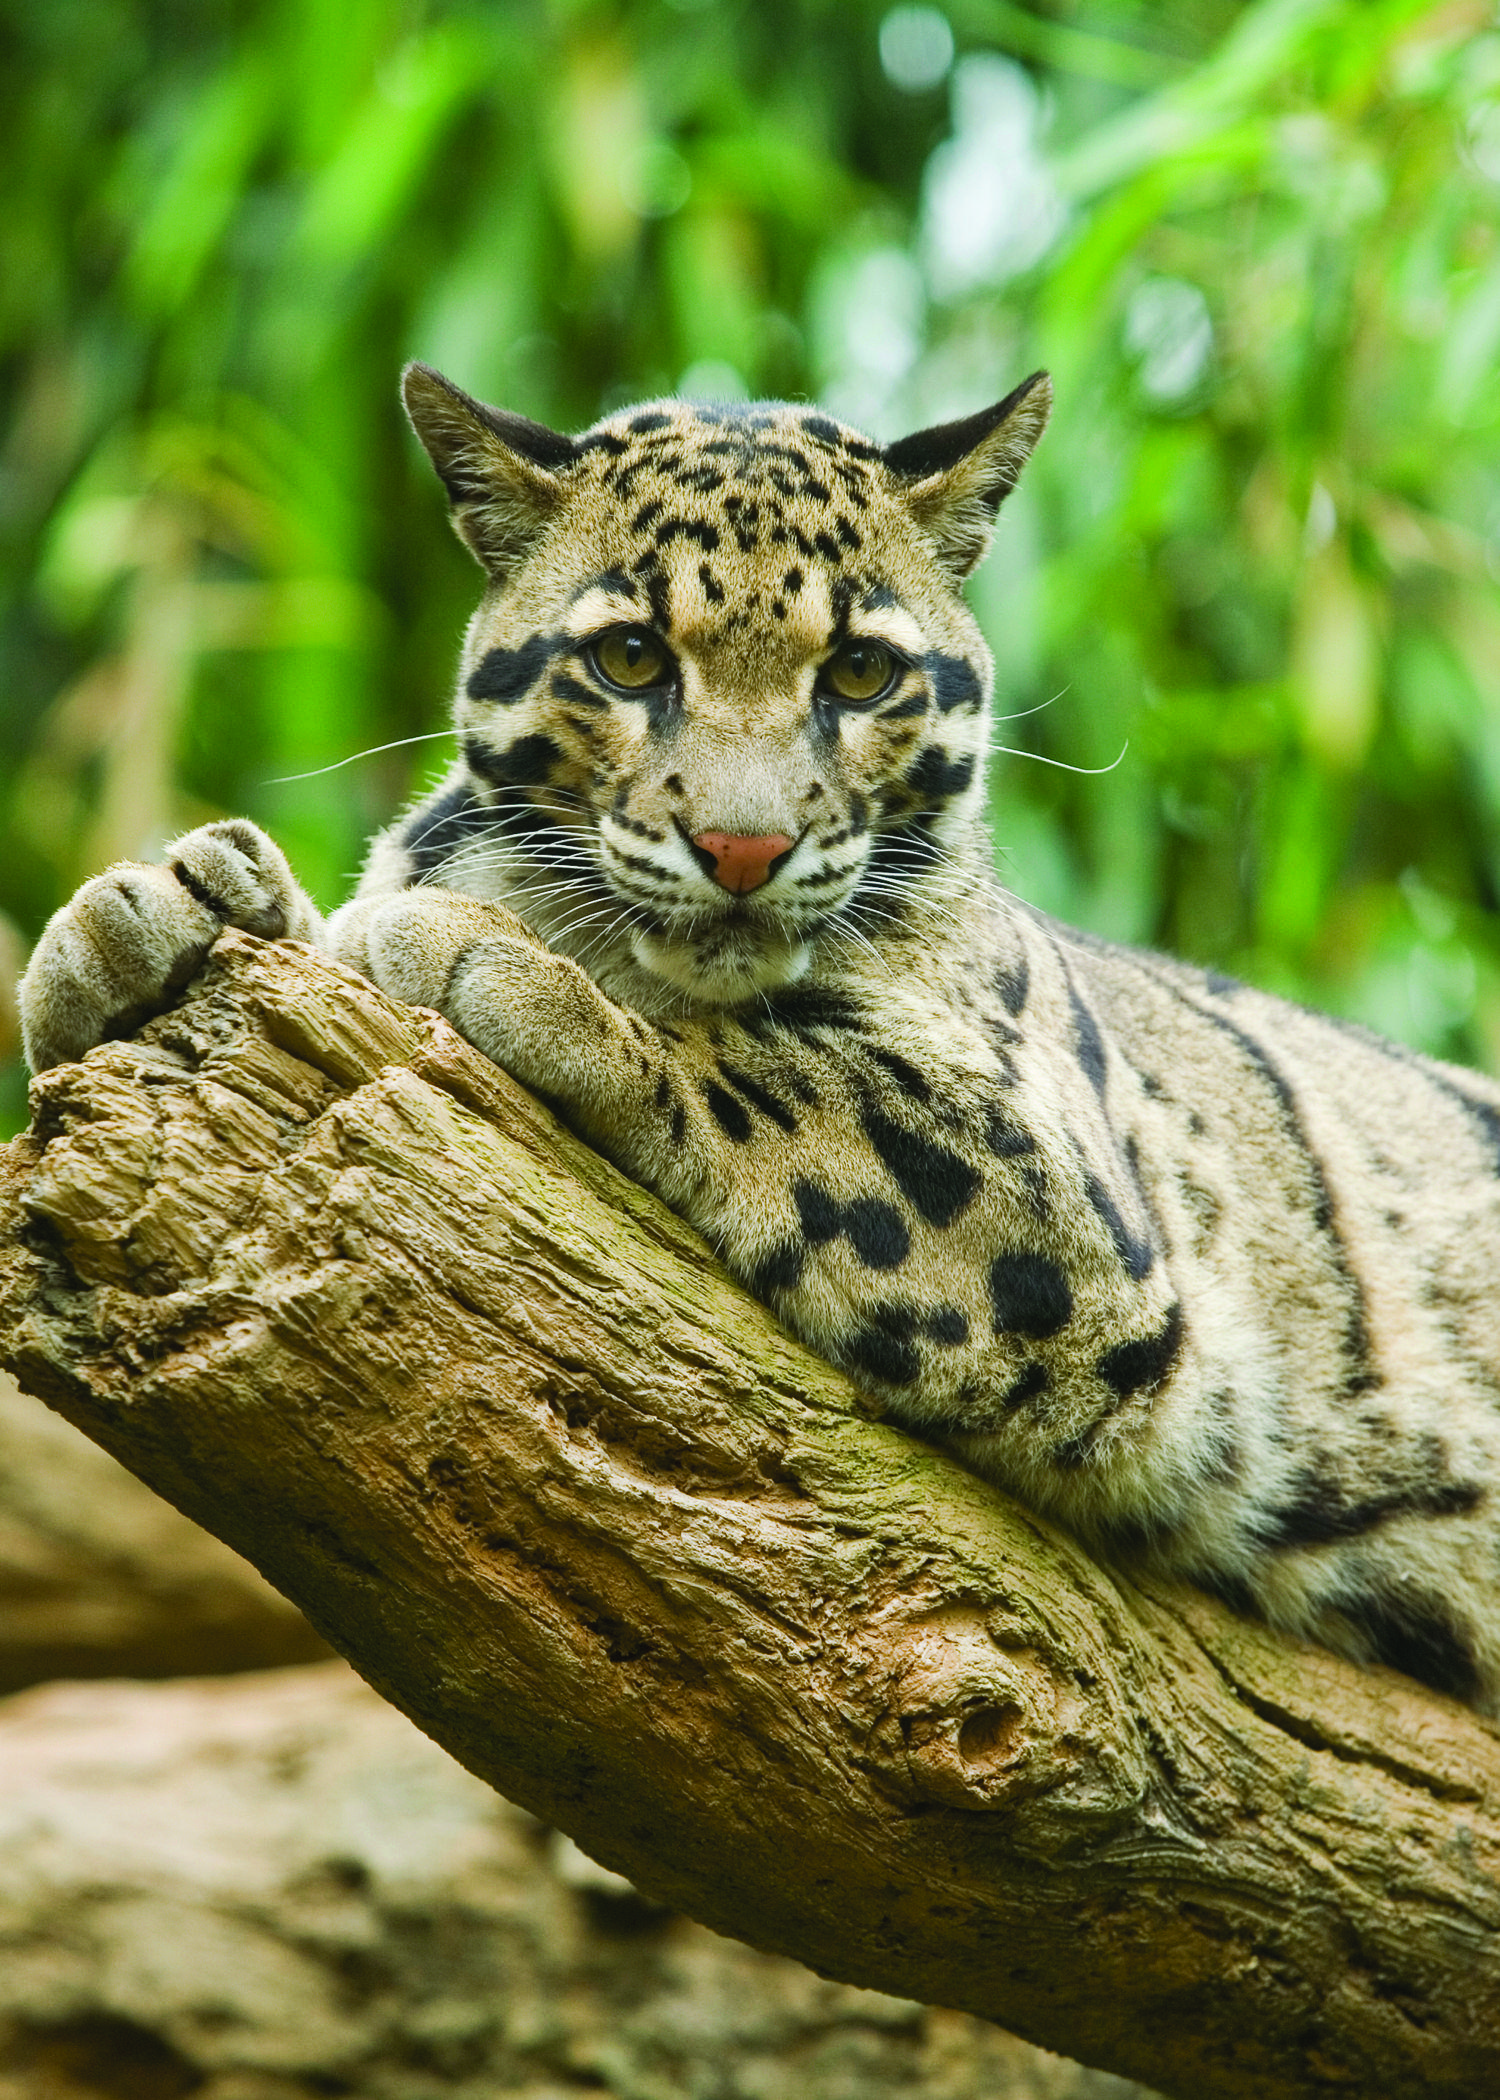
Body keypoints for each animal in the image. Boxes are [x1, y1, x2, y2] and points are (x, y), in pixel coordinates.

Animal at [20, 360, 1500, 1716]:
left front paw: (477, 953)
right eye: (628, 656)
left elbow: (776, 1071)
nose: (743, 845)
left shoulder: (1090, 1233)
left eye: (861, 670)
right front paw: (156, 917)